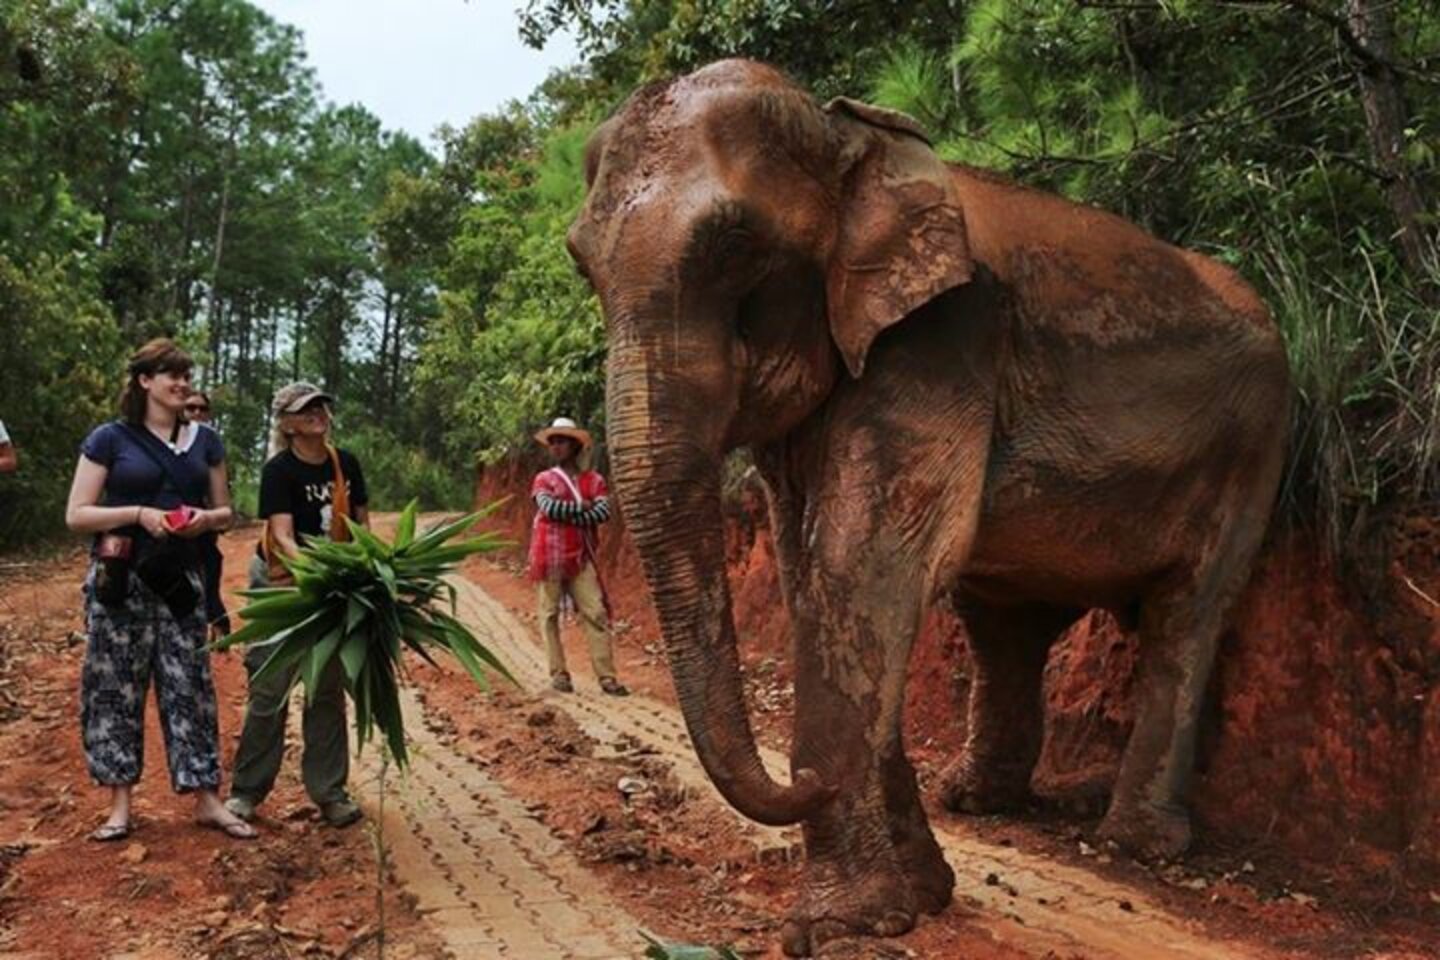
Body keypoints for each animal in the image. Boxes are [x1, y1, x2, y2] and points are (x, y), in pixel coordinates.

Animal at [567, 60, 1291, 956]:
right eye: (581, 265)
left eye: (736, 247)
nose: (804, 778)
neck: (847, 134)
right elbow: (816, 574)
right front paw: (920, 898)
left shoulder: (942, 339)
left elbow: (859, 567)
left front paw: (841, 925)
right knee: (1004, 624)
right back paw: (976, 799)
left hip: (1256, 442)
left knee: (1187, 613)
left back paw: (1137, 844)